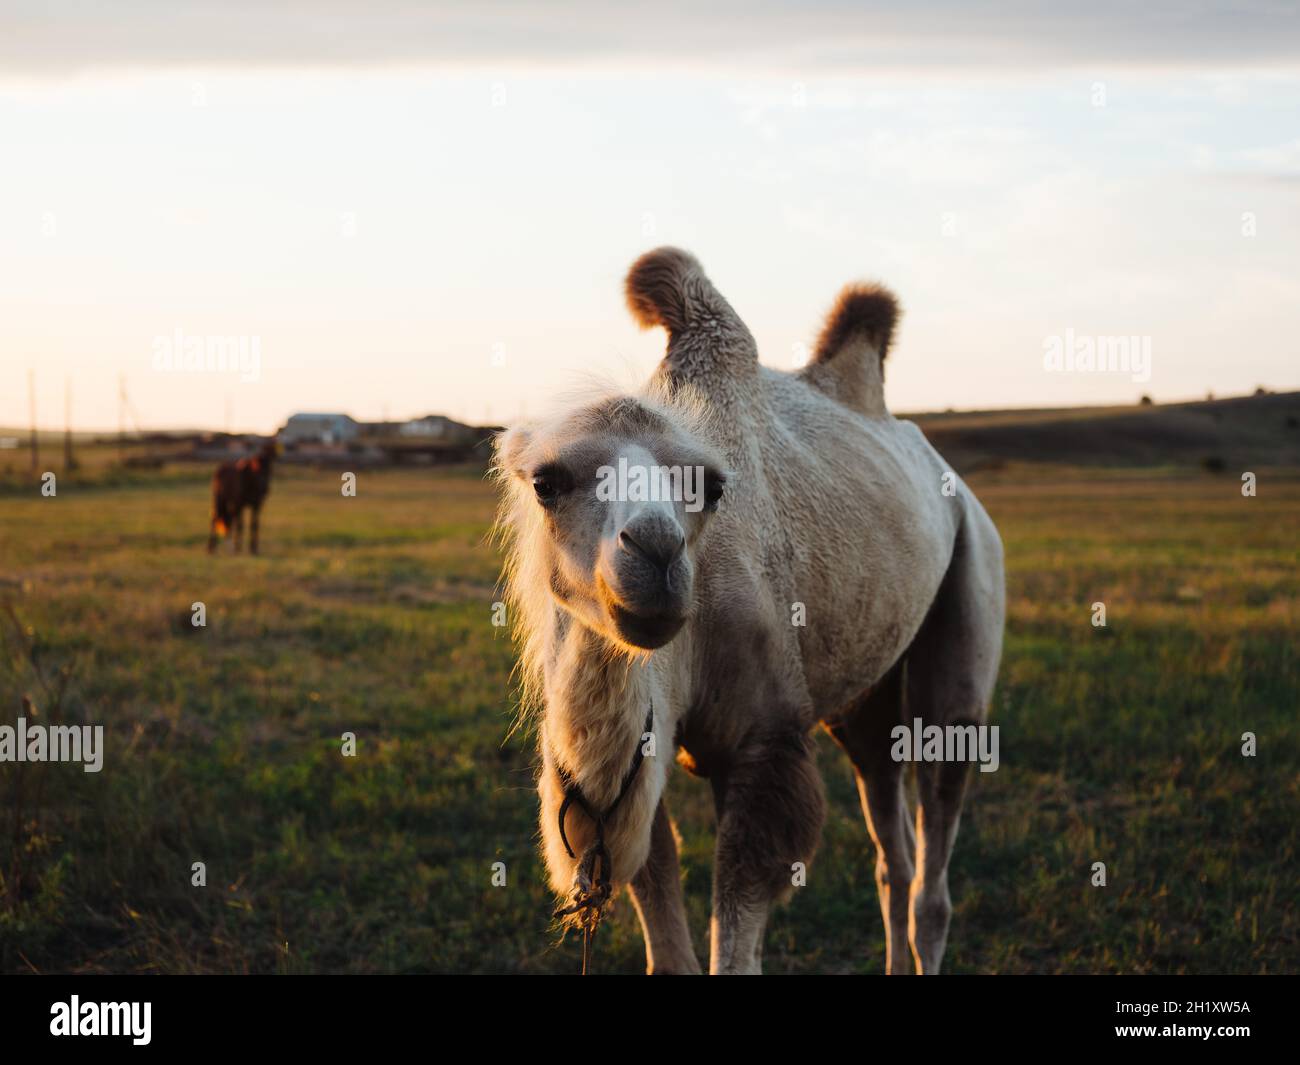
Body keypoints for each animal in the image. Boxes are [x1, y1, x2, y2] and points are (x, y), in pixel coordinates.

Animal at [494, 248, 1005, 974]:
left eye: (708, 486)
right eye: (546, 482)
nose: (654, 551)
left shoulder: (766, 745)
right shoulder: (644, 775)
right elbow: (666, 936)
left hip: (972, 576)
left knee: (935, 855)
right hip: (866, 687)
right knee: (890, 833)